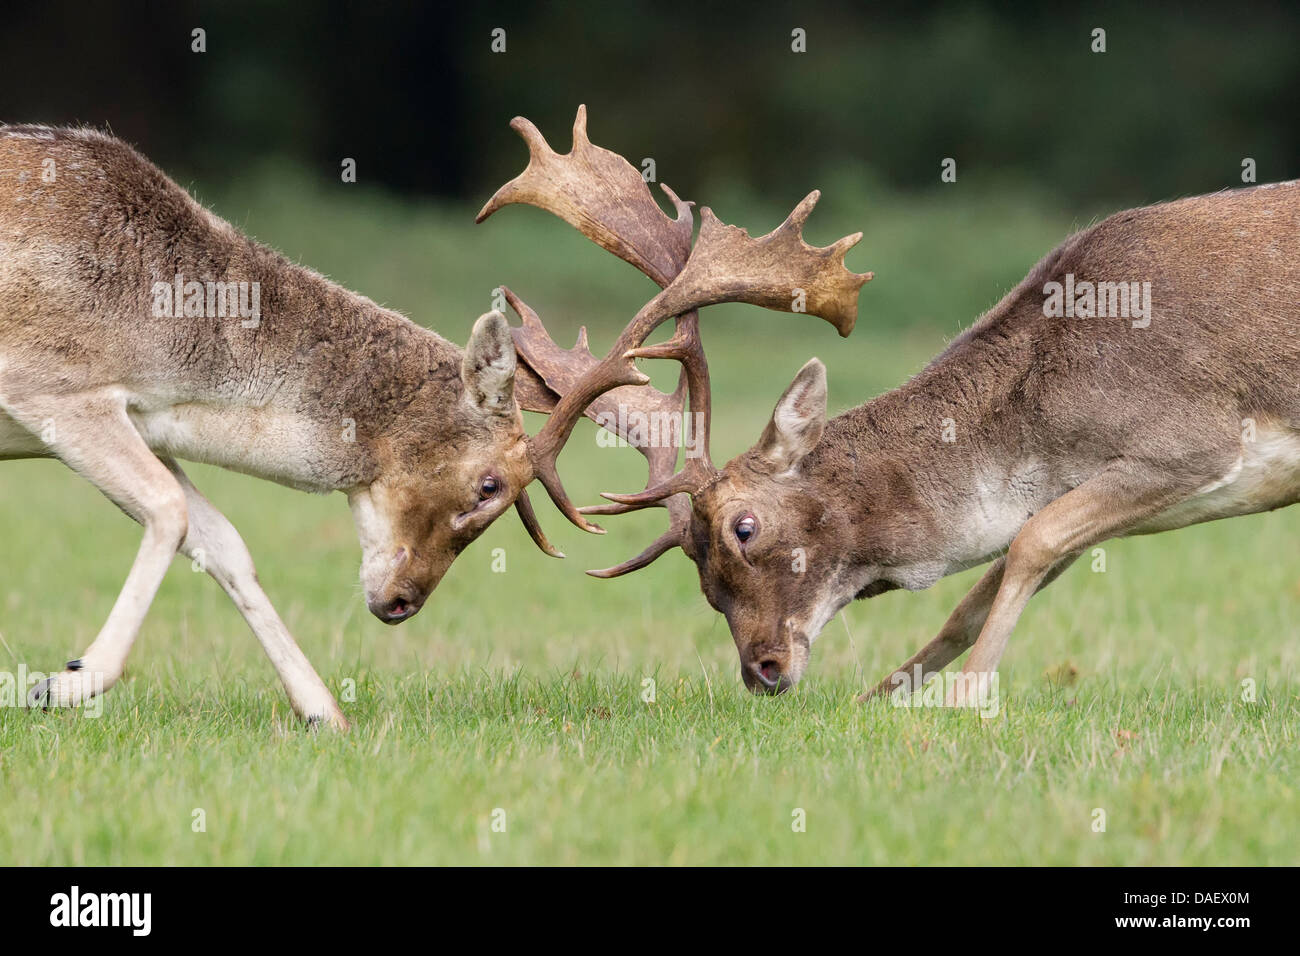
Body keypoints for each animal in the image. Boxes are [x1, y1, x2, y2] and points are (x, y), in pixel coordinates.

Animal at [0, 112, 869, 728]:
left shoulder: (134, 418)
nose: (401, 603)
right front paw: (61, 683)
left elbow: (222, 539)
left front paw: (325, 714)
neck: (165, 347)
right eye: (488, 484)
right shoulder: (52, 381)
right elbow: (171, 510)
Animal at [485, 111, 1300, 708]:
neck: (1046, 428)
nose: (762, 670)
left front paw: (967, 698)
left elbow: (1028, 544)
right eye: (698, 567)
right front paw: (880, 698)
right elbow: (982, 590)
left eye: (744, 528)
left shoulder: (1190, 439)